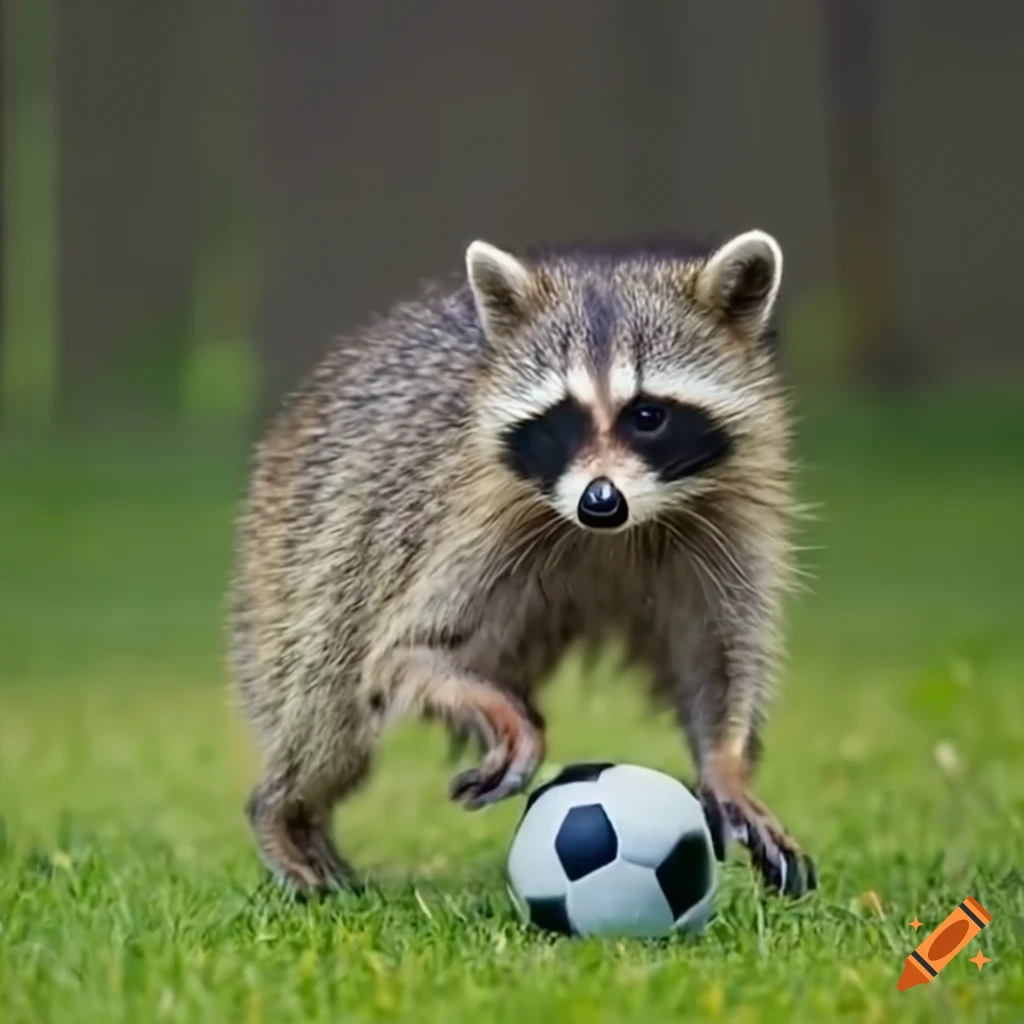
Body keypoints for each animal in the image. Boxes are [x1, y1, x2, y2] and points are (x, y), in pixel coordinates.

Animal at [229, 229, 815, 898]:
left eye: (647, 415)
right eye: (563, 418)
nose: (600, 502)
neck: (616, 532)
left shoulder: (728, 520)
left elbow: (720, 659)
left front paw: (726, 764)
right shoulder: (464, 522)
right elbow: (405, 656)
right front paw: (497, 710)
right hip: (306, 551)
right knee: (325, 707)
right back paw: (283, 806)